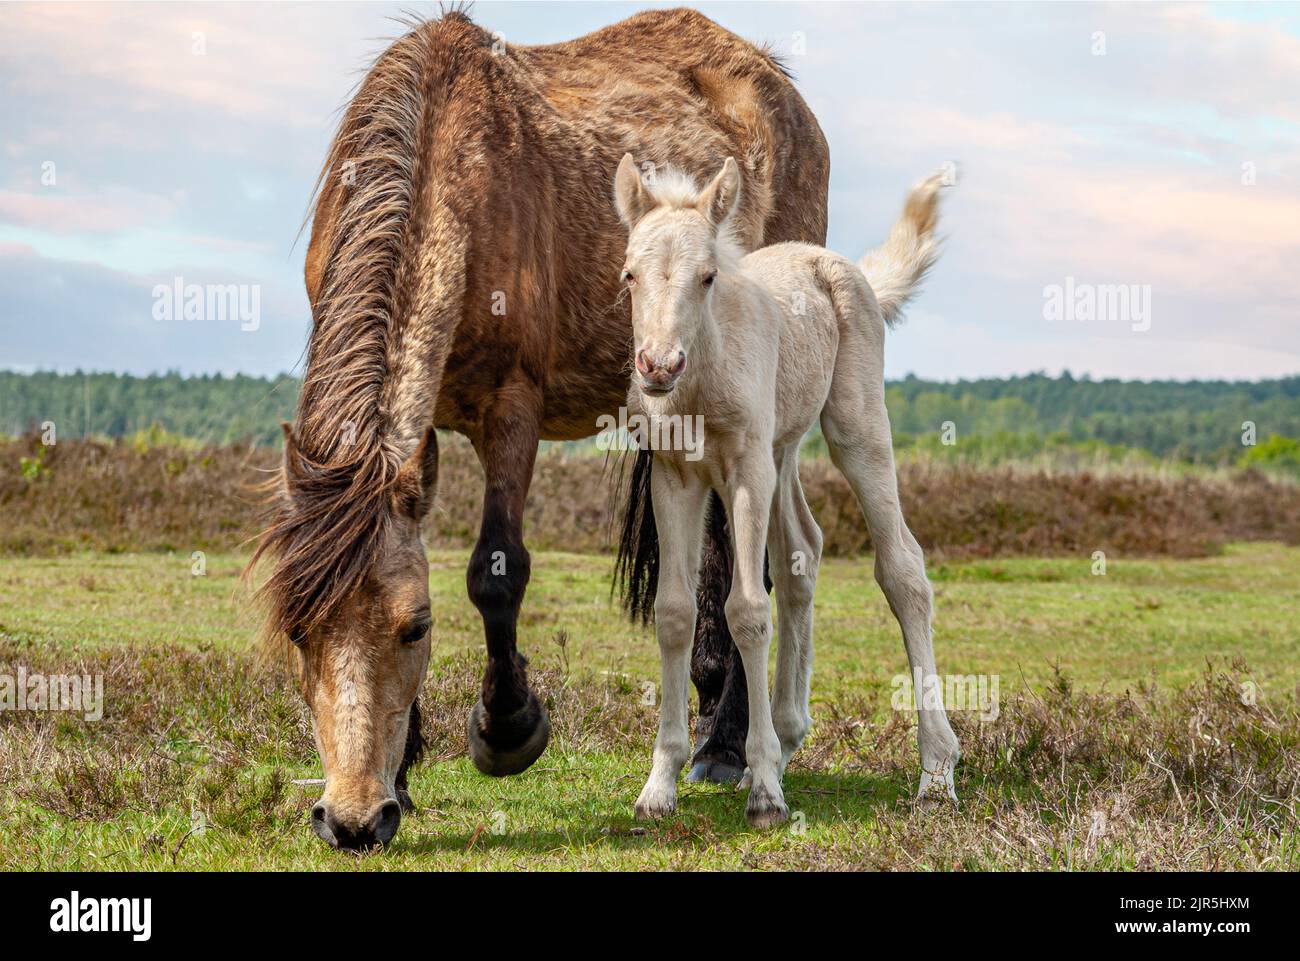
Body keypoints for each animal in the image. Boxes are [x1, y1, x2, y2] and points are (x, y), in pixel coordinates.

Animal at [249, 8, 829, 850]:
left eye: (416, 628)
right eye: (298, 633)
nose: (352, 820)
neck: (448, 158)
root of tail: (780, 89)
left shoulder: (511, 408)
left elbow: (497, 572)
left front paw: (508, 729)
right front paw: (403, 775)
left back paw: (726, 745)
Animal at [614, 154, 961, 826]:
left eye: (707, 277)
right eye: (630, 275)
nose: (658, 366)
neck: (703, 378)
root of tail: (841, 266)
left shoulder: (746, 469)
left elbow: (748, 612)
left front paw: (766, 796)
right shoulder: (675, 476)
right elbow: (674, 613)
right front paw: (659, 786)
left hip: (853, 427)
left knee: (902, 568)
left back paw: (936, 772)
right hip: (783, 451)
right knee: (803, 550)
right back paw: (787, 736)